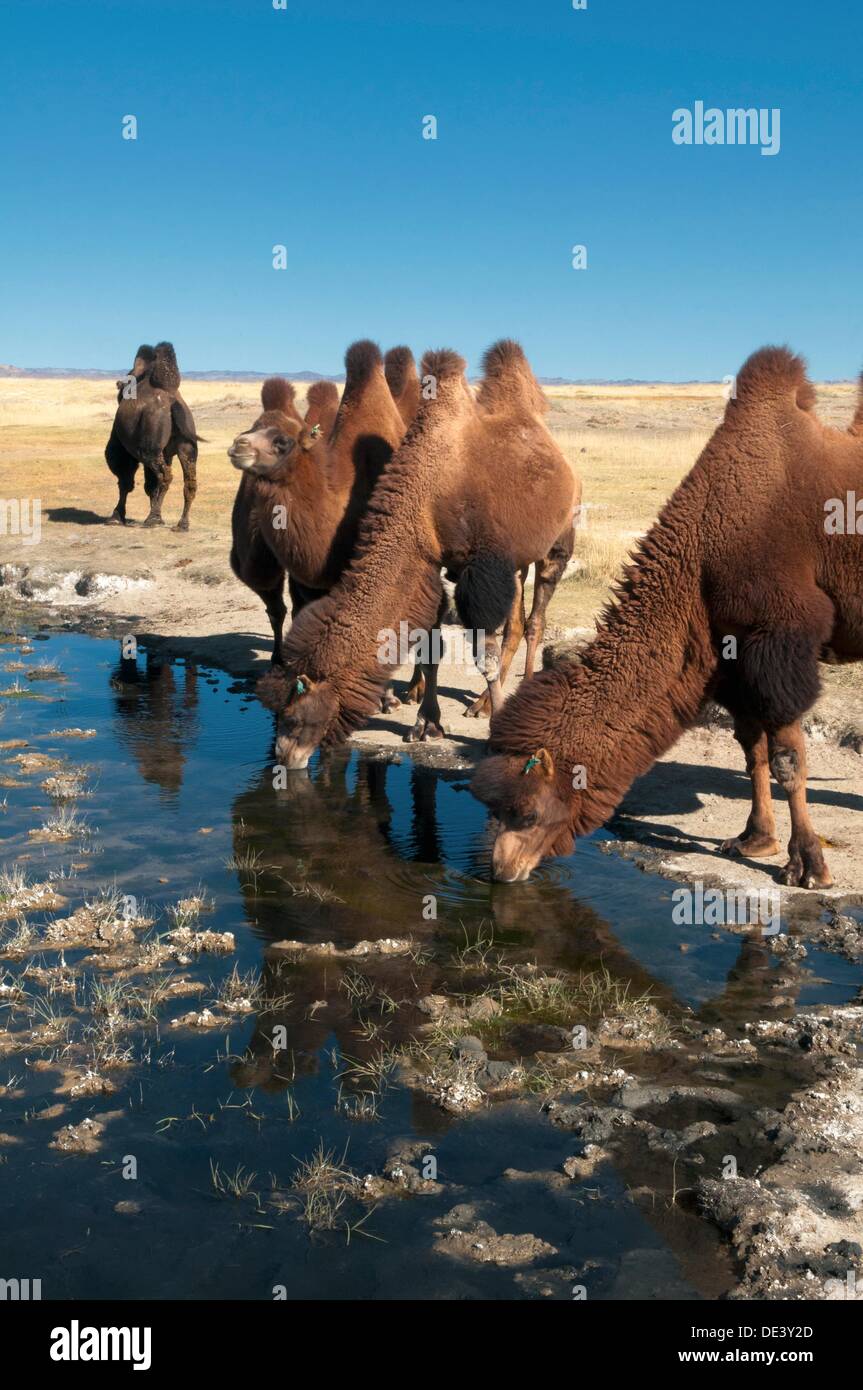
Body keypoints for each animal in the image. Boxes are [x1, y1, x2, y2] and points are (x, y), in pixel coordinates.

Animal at [105, 342, 199, 530]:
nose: (118, 384)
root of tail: (173, 403)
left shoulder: (123, 446)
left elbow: (125, 480)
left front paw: (116, 517)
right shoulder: (167, 454)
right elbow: (150, 485)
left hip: (149, 449)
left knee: (164, 476)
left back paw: (152, 519)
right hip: (186, 447)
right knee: (189, 481)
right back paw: (181, 524)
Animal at [263, 339, 580, 768]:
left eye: (294, 715)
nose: (283, 756)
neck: (425, 497)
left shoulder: (480, 570)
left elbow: (483, 655)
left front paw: (495, 732)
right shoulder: (432, 563)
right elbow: (431, 642)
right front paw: (426, 723)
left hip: (558, 543)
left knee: (535, 620)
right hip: (518, 562)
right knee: (516, 623)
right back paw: (481, 702)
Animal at [471, 345, 863, 886]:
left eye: (526, 813)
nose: (501, 869)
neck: (701, 559)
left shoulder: (779, 644)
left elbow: (788, 760)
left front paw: (807, 865)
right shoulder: (730, 654)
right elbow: (752, 749)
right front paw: (754, 839)